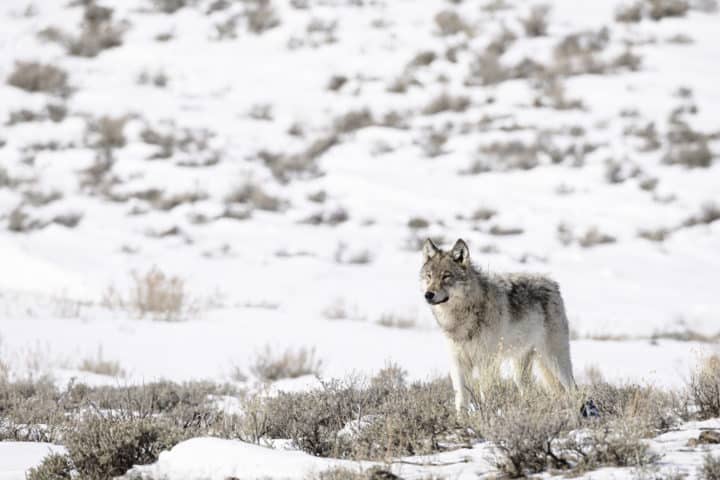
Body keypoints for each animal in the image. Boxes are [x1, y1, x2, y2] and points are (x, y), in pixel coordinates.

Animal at [421, 238, 576, 412]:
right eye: (429, 276)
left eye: (446, 276)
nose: (428, 294)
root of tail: (552, 282)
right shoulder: (458, 362)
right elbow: (461, 399)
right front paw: (462, 418)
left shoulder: (487, 362)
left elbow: (485, 393)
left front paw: (486, 414)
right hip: (521, 370)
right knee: (530, 390)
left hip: (556, 360)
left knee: (573, 388)